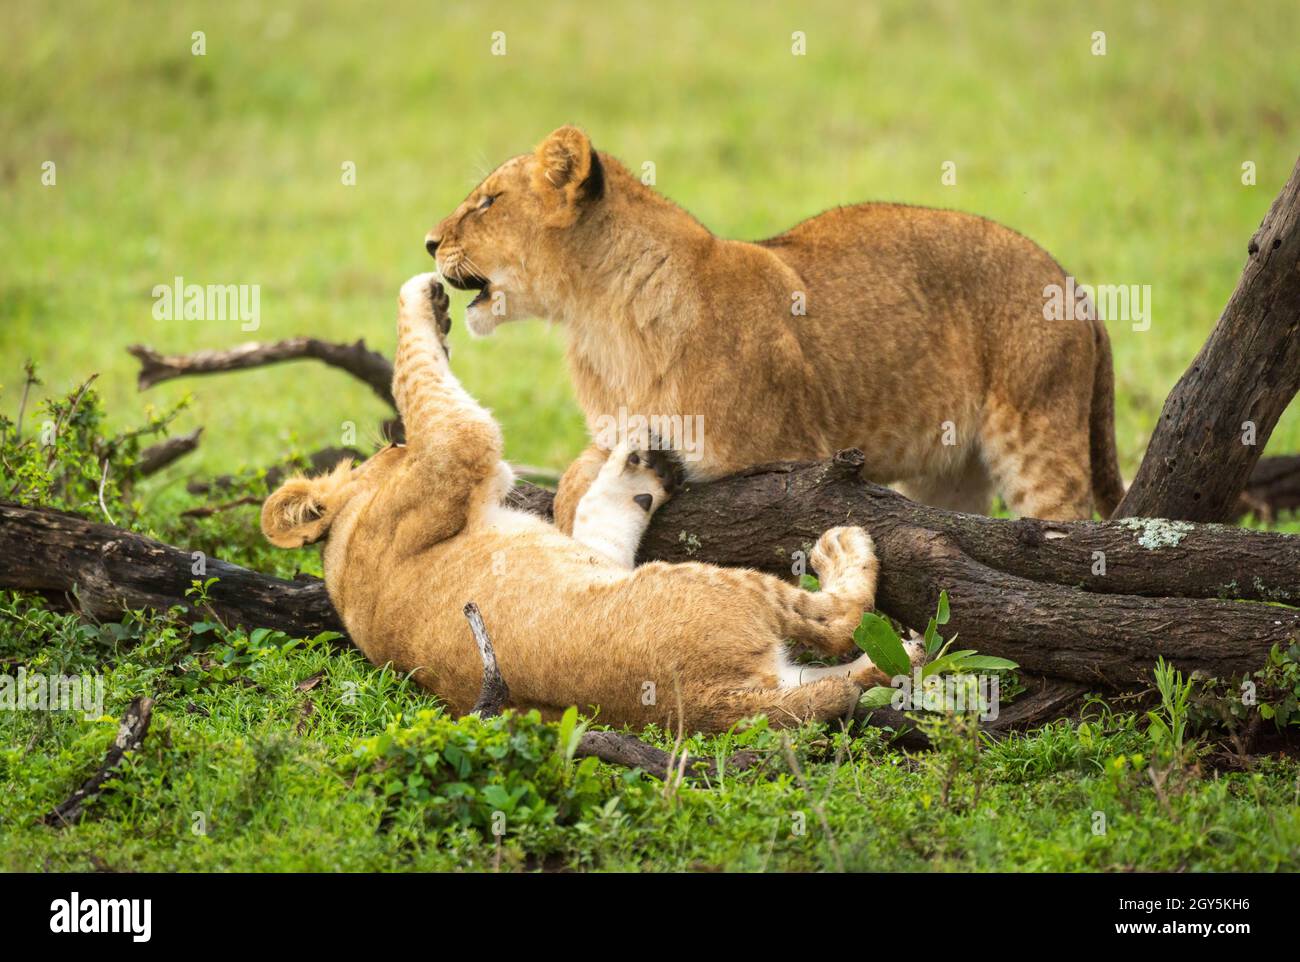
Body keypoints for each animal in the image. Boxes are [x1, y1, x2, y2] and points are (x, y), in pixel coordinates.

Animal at [261, 274, 920, 732]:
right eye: (395, 442)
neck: (347, 540)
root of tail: (705, 703)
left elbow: (597, 519)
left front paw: (637, 471)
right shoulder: (452, 453)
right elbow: (421, 380)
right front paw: (425, 296)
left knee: (852, 671)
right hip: (712, 587)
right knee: (838, 622)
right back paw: (844, 552)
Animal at [424, 126, 1125, 529]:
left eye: (487, 202)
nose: (429, 241)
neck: (597, 319)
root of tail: (1072, 281)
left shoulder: (786, 460)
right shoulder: (619, 432)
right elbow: (576, 471)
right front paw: (571, 512)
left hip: (1038, 437)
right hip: (947, 470)